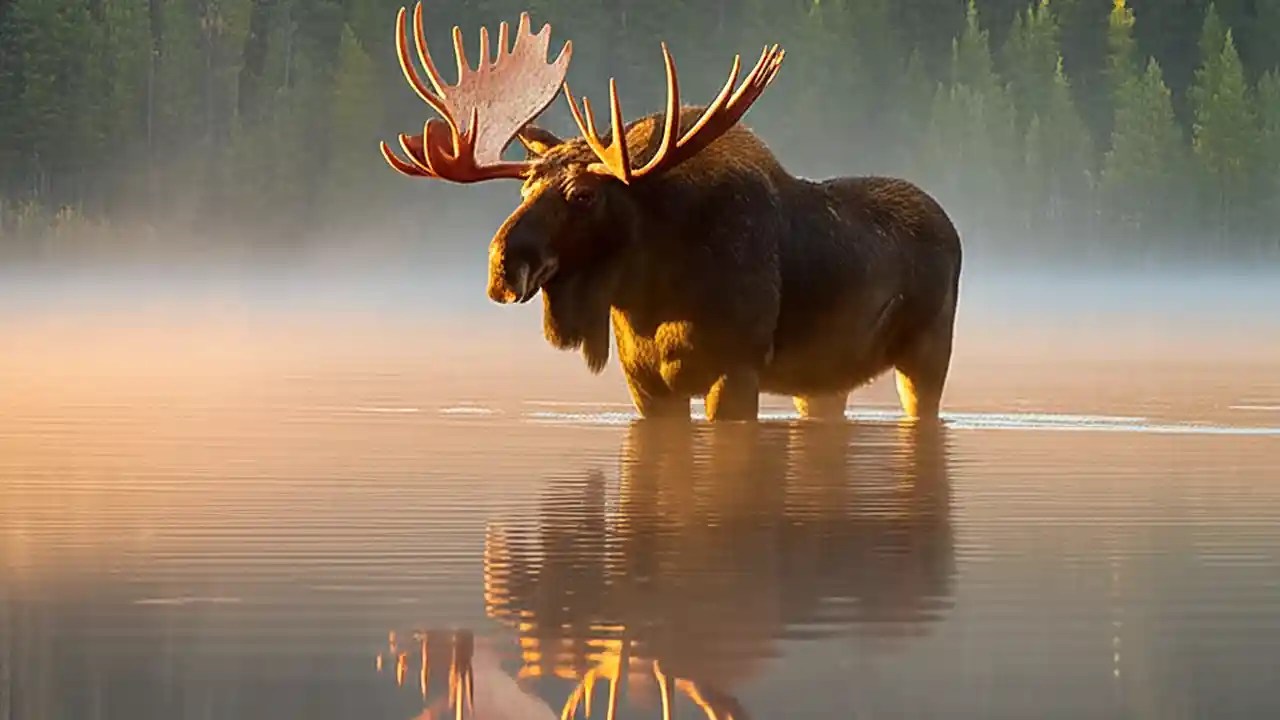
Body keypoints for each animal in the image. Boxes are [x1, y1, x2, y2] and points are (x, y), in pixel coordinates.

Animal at [380, 3, 963, 423]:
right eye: (524, 186)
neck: (650, 289)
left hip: (927, 354)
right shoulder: (646, 384)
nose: (503, 264)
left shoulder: (736, 369)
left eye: (584, 195)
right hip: (821, 381)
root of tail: (952, 226)